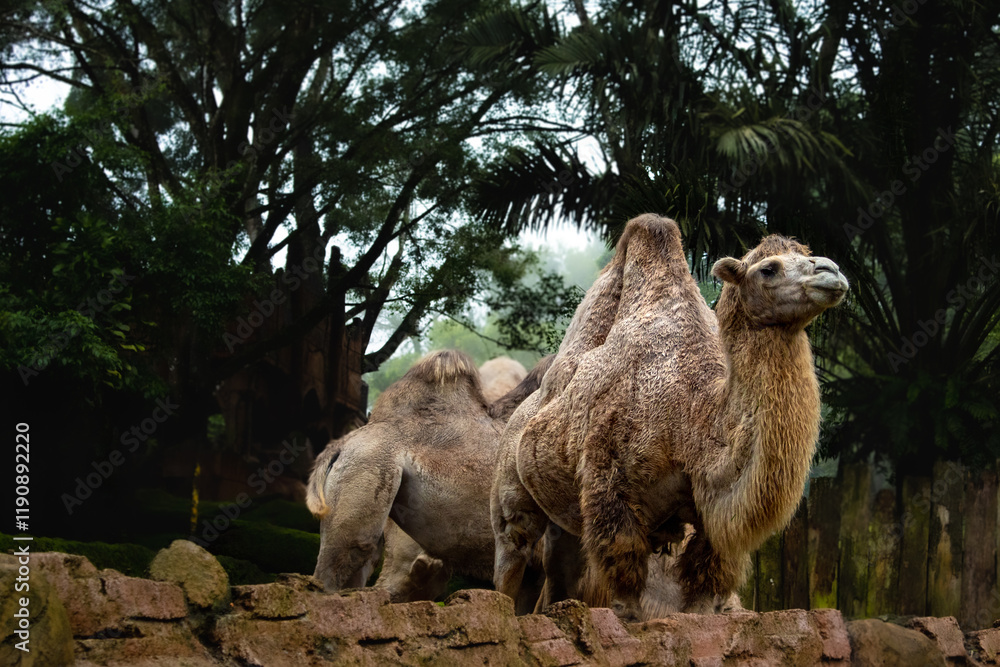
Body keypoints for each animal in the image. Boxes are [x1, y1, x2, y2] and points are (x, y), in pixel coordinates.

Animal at [491, 213, 848, 620]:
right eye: (768, 269)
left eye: (807, 253)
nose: (832, 270)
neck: (693, 418)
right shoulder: (607, 476)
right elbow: (624, 564)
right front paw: (626, 614)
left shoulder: (708, 516)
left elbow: (705, 574)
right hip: (510, 494)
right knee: (512, 551)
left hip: (562, 516)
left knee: (560, 565)